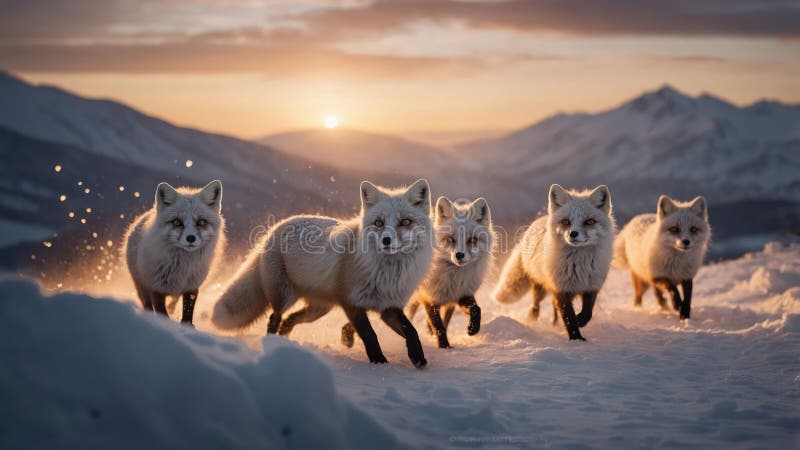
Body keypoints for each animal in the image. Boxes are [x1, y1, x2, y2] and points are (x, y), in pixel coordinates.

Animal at [124, 180, 224, 326]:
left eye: (201, 222)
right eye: (177, 222)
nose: (190, 238)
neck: (181, 268)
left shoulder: (191, 287)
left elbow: (187, 314)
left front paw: (186, 326)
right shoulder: (157, 288)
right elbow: (162, 313)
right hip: (141, 286)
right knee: (147, 305)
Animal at [211, 179, 432, 368]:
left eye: (405, 222)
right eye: (379, 223)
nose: (386, 240)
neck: (387, 274)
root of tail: (275, 227)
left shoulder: (389, 307)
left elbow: (411, 331)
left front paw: (418, 357)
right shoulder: (351, 303)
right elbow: (370, 335)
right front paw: (379, 362)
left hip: (318, 310)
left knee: (289, 319)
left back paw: (285, 343)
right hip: (284, 296)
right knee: (275, 318)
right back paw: (272, 343)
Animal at [493, 184, 614, 341]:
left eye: (589, 221)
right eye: (566, 222)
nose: (573, 234)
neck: (579, 266)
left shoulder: (592, 286)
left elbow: (587, 313)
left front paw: (580, 321)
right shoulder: (561, 288)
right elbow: (569, 317)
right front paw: (576, 339)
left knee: (553, 305)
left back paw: (555, 324)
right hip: (540, 287)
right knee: (536, 305)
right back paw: (534, 320)